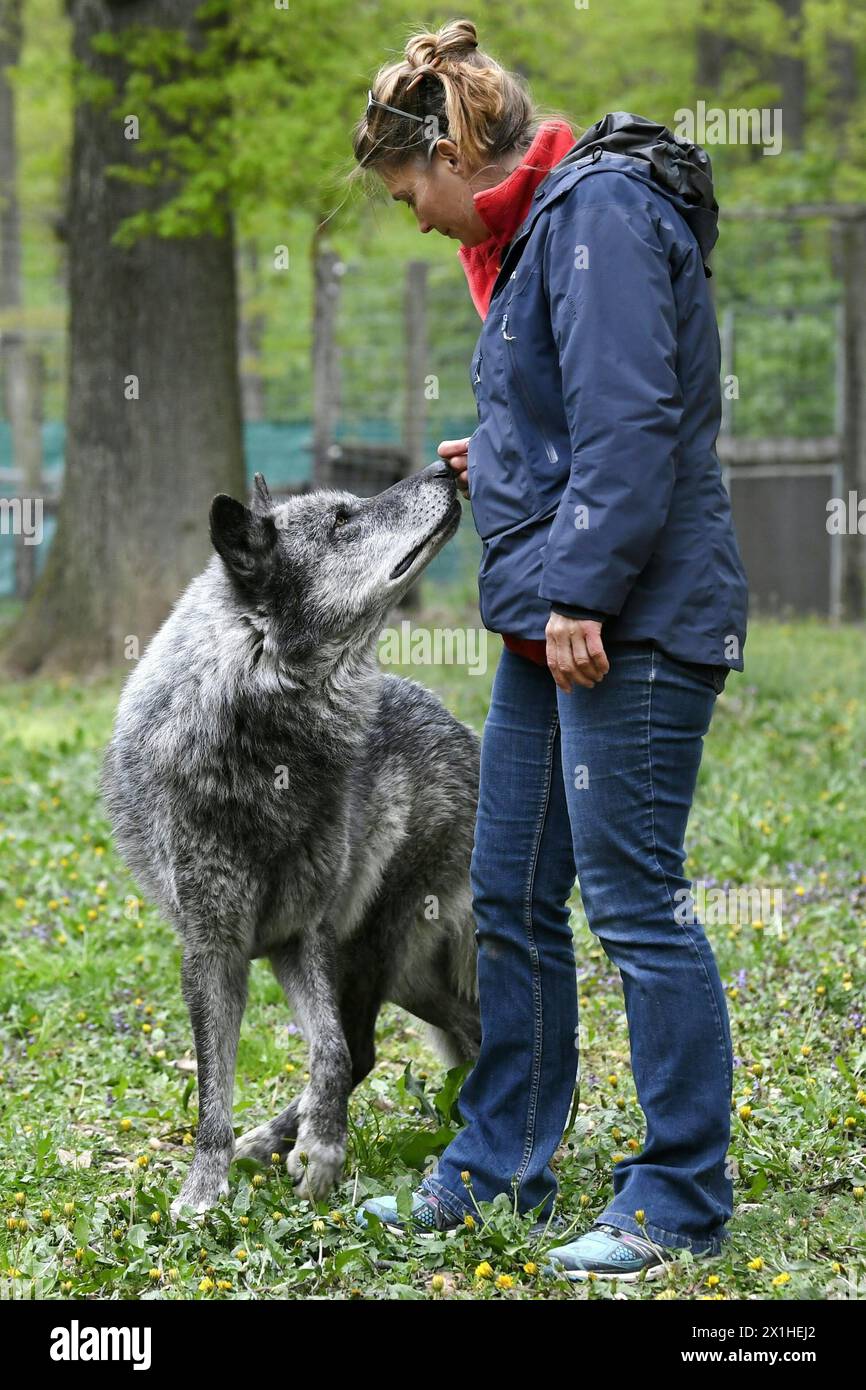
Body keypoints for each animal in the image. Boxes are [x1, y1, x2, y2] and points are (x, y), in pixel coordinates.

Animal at [101, 461, 481, 1219]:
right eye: (341, 520)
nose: (443, 467)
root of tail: (461, 728)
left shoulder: (303, 937)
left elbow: (332, 1053)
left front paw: (323, 1150)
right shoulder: (216, 953)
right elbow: (213, 1092)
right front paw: (204, 1190)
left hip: (372, 949)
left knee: (364, 1047)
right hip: (403, 972)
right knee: (466, 1028)